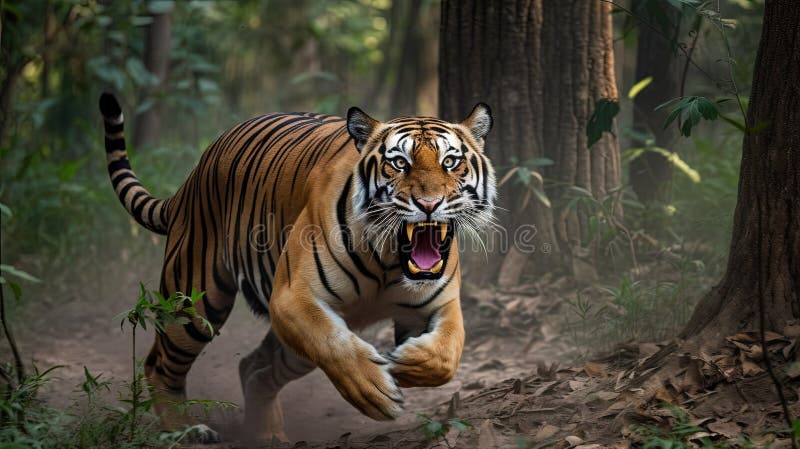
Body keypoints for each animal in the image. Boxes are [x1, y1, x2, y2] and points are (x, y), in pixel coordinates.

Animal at [98, 92, 495, 442]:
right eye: (399, 163)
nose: (429, 203)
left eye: (450, 162)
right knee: (159, 362)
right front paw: (374, 389)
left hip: (290, 349)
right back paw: (185, 431)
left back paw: (266, 433)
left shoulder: (439, 304)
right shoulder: (293, 298)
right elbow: (335, 346)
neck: (388, 258)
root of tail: (196, 172)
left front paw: (405, 362)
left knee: (253, 367)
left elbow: (447, 354)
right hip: (195, 299)